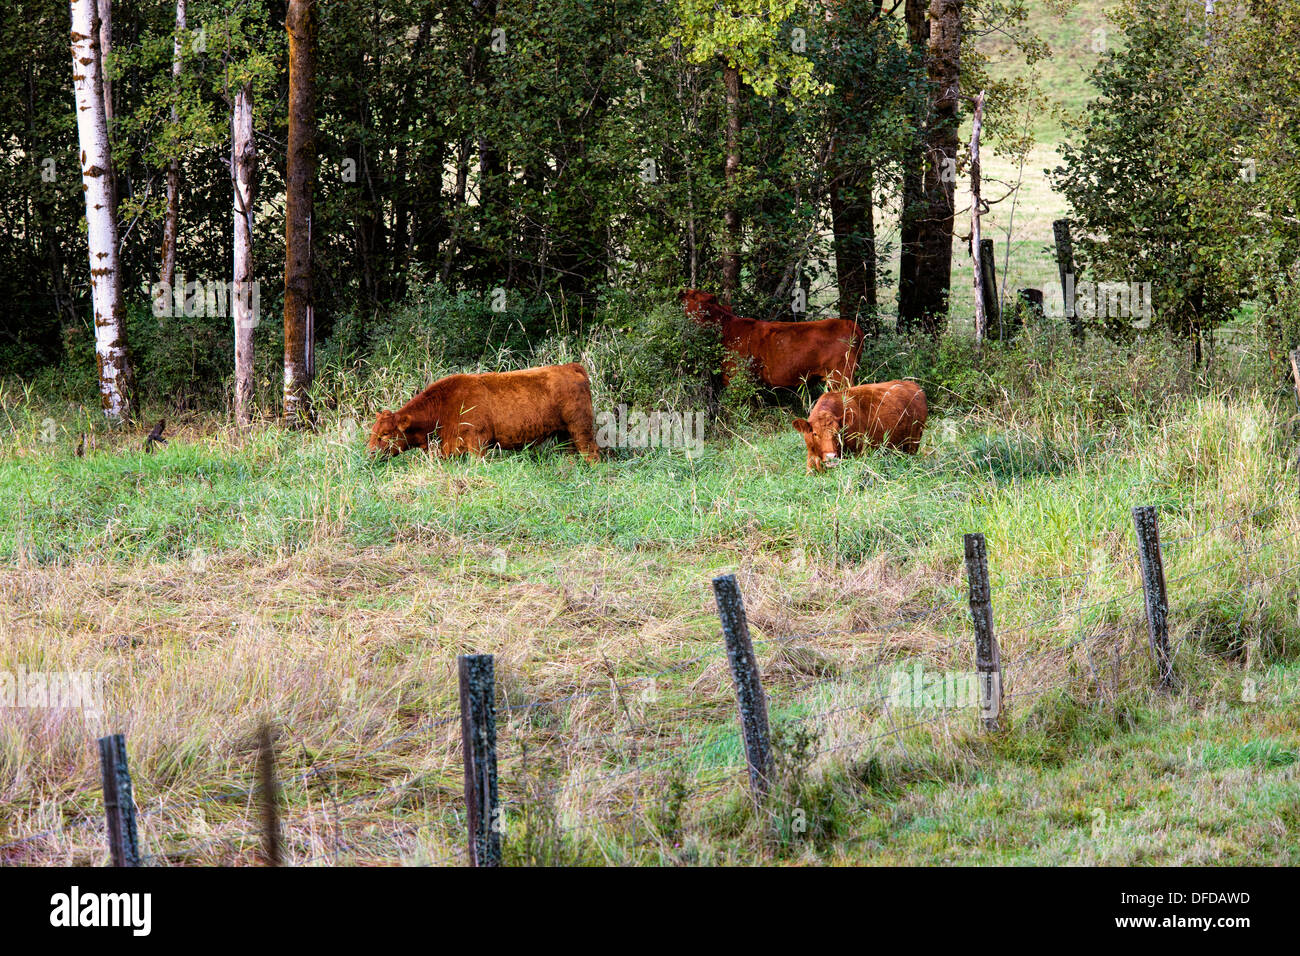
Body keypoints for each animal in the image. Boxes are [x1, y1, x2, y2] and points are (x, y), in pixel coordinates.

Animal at [368, 362, 601, 462]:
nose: (369, 452)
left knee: (592, 455)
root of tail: (570, 366)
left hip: (581, 428)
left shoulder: (477, 443)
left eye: (385, 434)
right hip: (565, 434)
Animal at [680, 288, 863, 390]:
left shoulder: (735, 376)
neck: (727, 327)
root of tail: (849, 323)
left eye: (694, 297)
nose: (681, 291)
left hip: (841, 376)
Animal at [791, 380, 927, 472]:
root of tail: (912, 385)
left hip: (913, 442)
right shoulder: (811, 459)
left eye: (838, 432)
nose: (831, 457)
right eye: (815, 433)